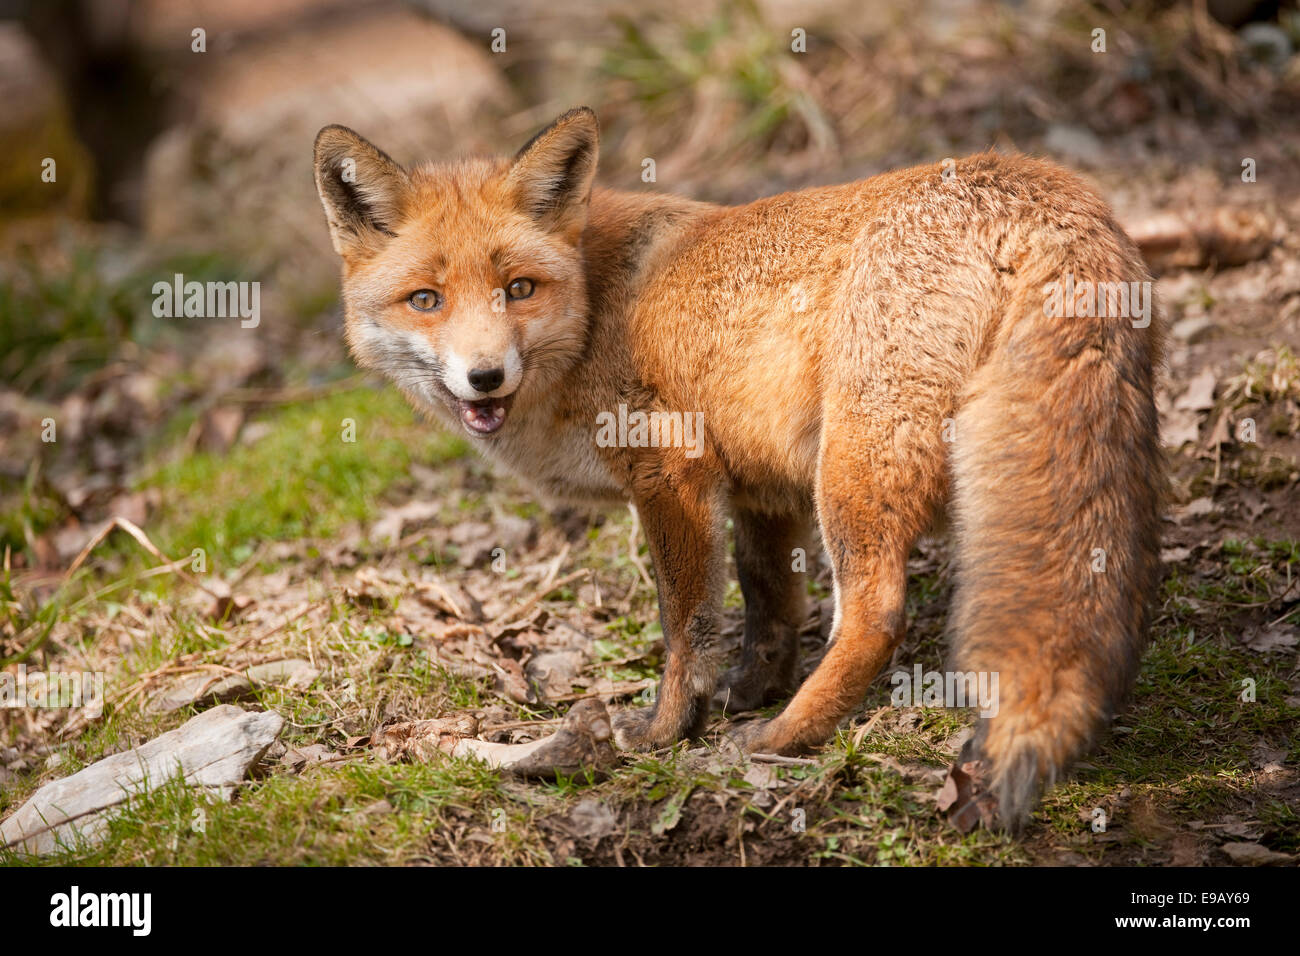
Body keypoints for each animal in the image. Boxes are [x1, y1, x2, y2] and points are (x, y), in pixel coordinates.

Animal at [313, 107, 1164, 830]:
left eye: (518, 288)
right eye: (426, 300)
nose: (484, 377)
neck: (593, 309)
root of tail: (1044, 189)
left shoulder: (670, 473)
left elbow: (685, 626)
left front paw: (668, 729)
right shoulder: (763, 488)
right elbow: (767, 603)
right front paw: (750, 691)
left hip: (853, 468)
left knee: (877, 613)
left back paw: (787, 740)